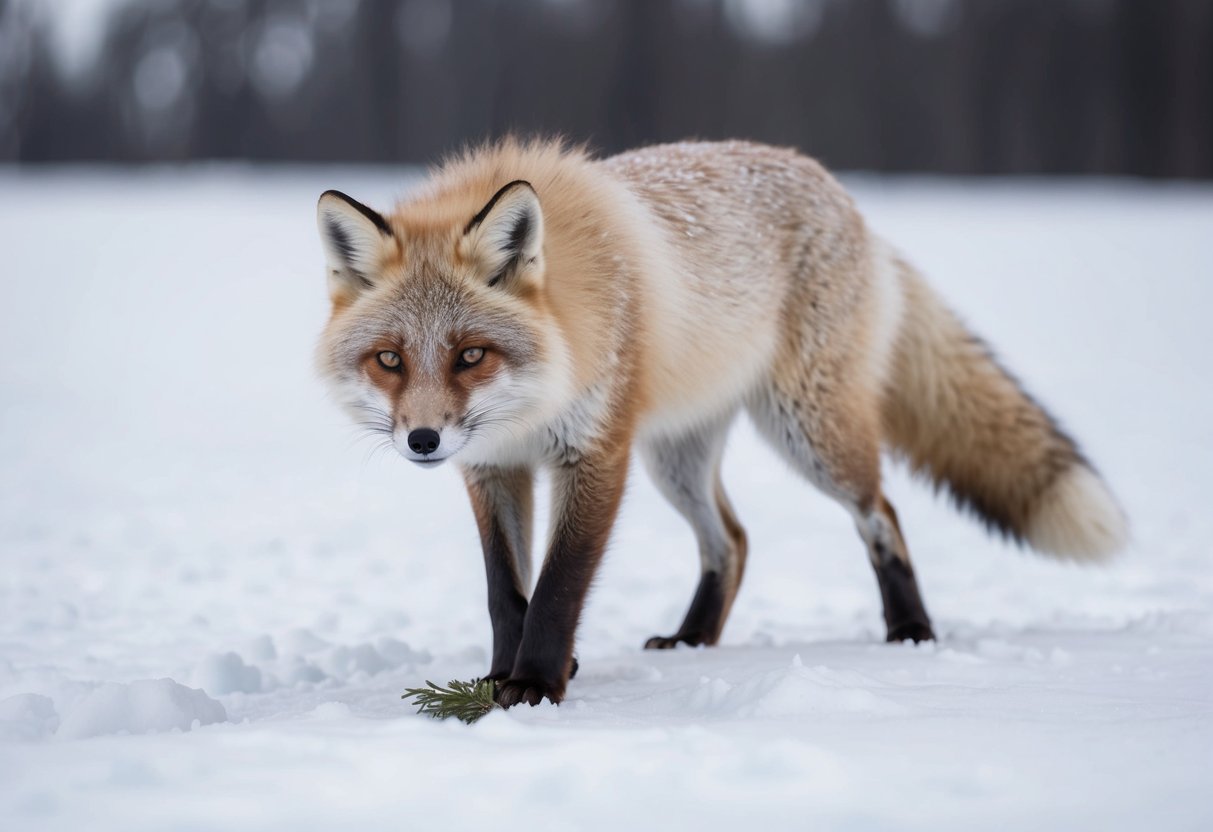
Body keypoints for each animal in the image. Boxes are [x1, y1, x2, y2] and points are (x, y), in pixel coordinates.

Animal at [314, 138, 1128, 708]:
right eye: (389, 360)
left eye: (471, 355)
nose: (423, 440)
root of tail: (844, 195)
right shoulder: (494, 468)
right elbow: (503, 593)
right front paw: (497, 680)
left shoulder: (596, 454)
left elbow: (557, 586)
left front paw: (538, 685)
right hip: (676, 459)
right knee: (730, 542)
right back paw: (692, 640)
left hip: (808, 434)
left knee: (882, 513)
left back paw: (911, 632)